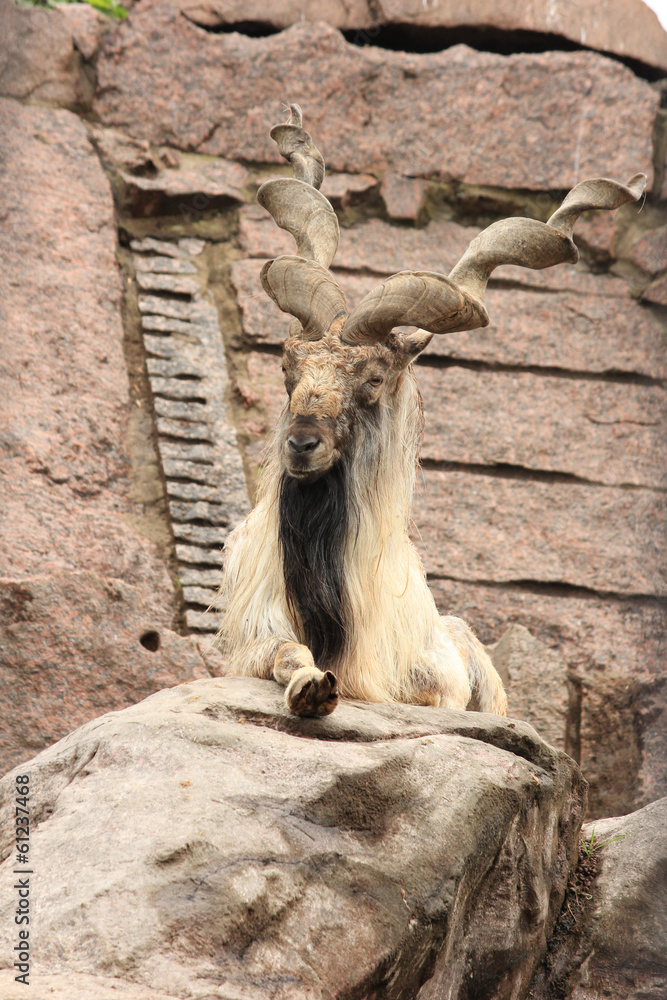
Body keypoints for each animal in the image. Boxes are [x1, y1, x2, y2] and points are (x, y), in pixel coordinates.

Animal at [217, 105, 645, 718]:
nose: (300, 444)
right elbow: (284, 652)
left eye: (374, 379)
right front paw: (312, 688)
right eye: (287, 367)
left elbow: (433, 694)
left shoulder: (436, 673)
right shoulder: (255, 631)